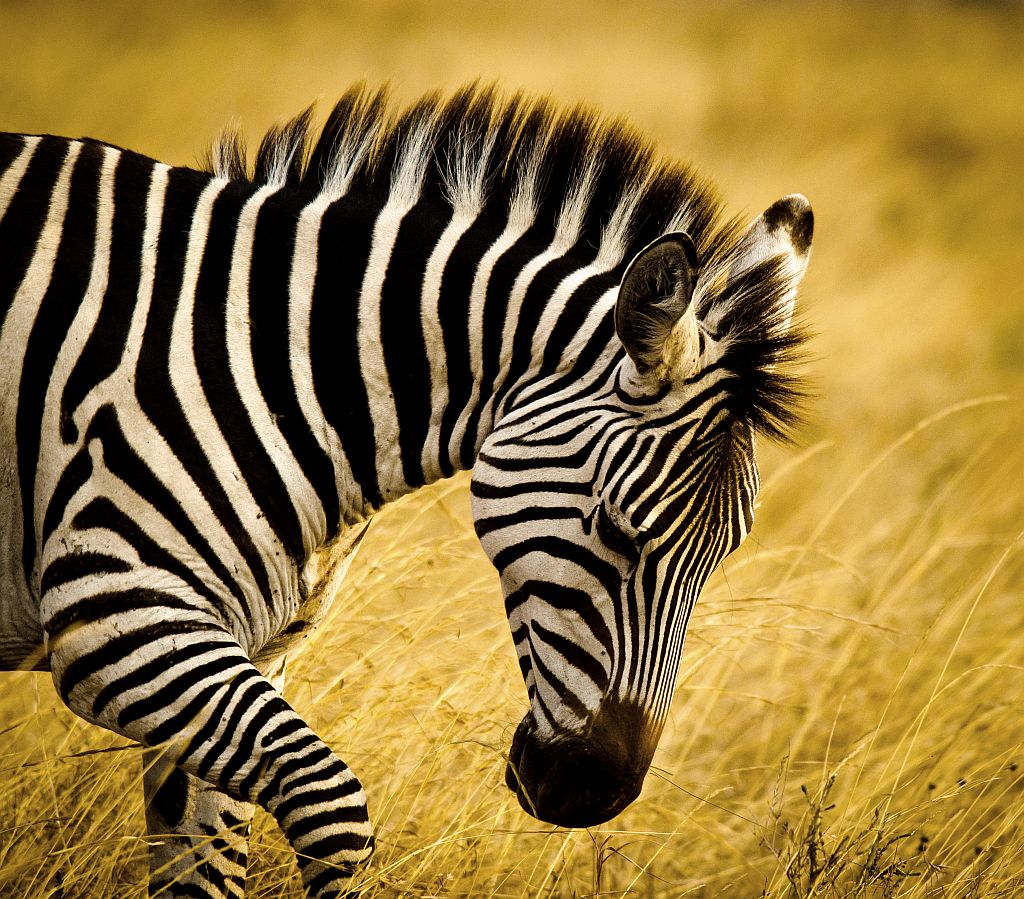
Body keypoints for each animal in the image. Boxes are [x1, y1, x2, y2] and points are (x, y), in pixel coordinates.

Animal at [0, 85, 812, 897]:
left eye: (718, 560)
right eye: (617, 529)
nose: (594, 796)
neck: (279, 360)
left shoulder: (249, 649)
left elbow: (205, 863)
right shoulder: (115, 610)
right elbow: (331, 805)